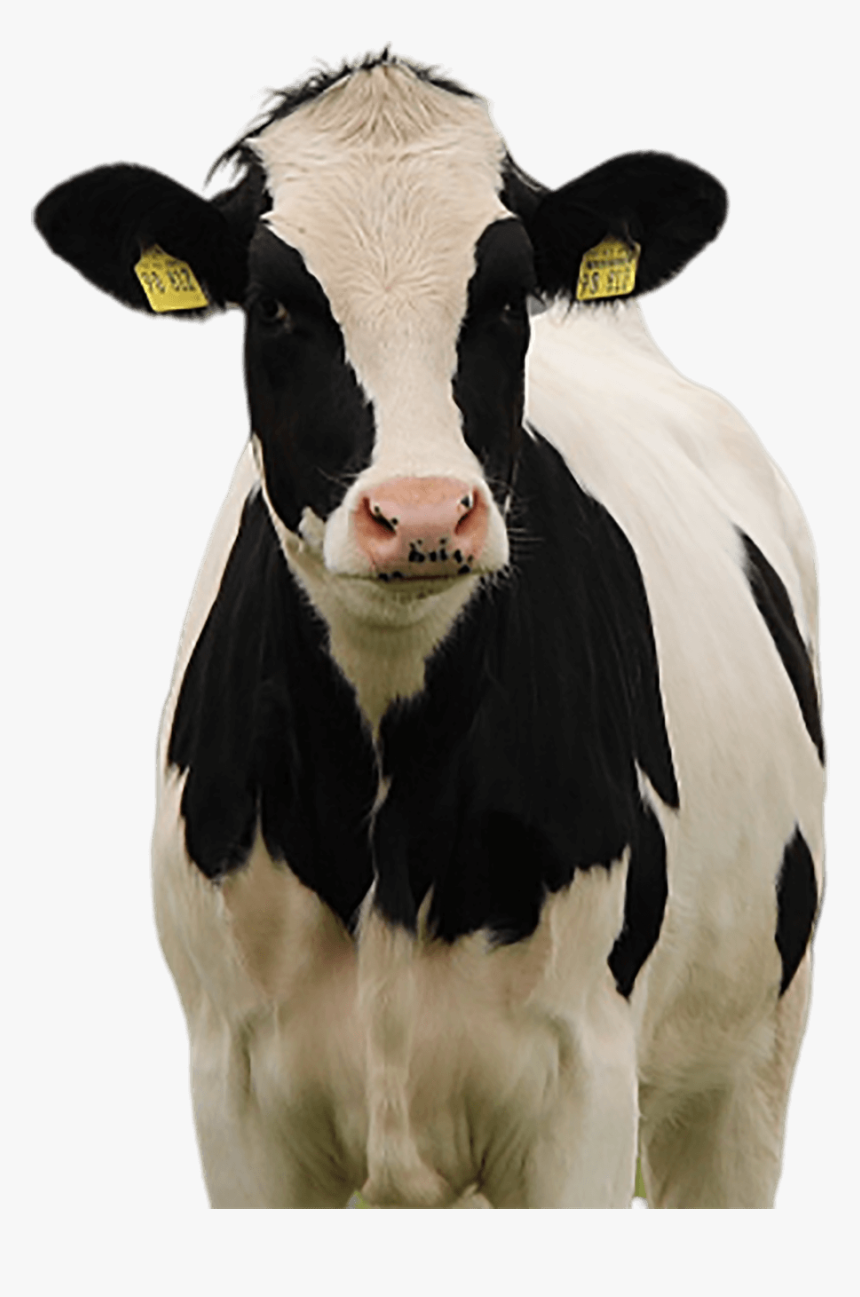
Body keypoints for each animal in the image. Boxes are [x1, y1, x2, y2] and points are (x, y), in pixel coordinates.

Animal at [34, 52, 823, 1209]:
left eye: (501, 297)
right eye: (274, 304)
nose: (418, 512)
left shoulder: (581, 1091)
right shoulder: (236, 1098)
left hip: (746, 1072)